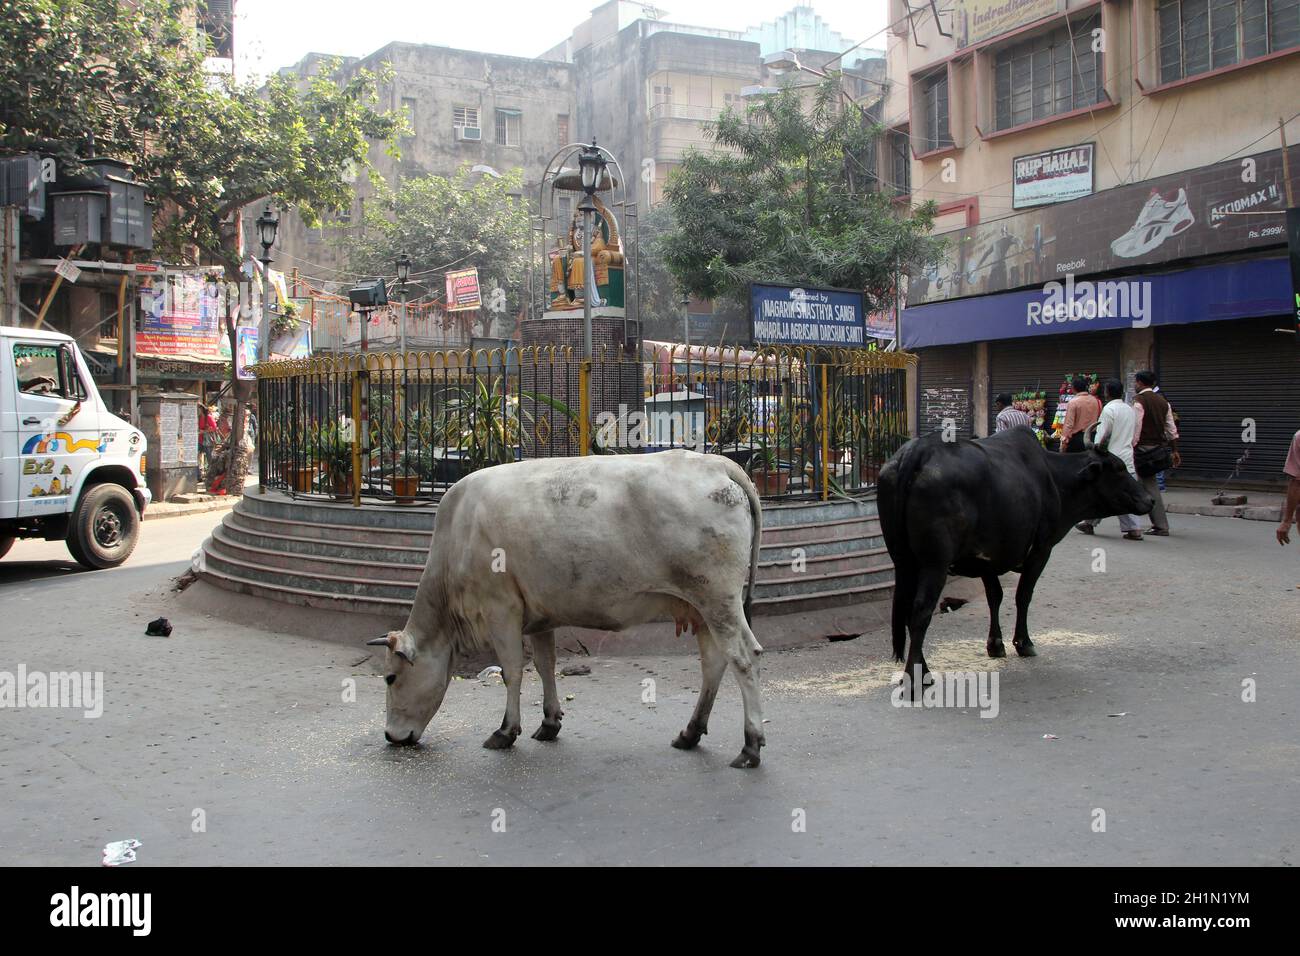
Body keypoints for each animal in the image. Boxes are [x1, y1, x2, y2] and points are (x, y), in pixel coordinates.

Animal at [367, 449, 768, 768]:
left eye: (390, 678)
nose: (390, 736)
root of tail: (718, 463)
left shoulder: (501, 608)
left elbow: (513, 671)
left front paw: (506, 731)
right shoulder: (539, 615)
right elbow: (546, 666)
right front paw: (549, 722)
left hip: (718, 599)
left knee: (744, 657)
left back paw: (750, 746)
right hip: (701, 606)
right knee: (714, 663)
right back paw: (691, 732)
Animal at [878, 426, 1153, 692]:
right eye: (1119, 468)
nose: (1149, 500)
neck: (1054, 478)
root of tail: (918, 450)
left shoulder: (986, 558)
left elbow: (995, 597)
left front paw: (995, 644)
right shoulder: (1042, 549)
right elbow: (1023, 595)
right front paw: (1024, 643)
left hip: (904, 560)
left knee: (907, 609)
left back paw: (923, 670)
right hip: (935, 564)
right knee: (921, 610)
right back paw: (915, 677)